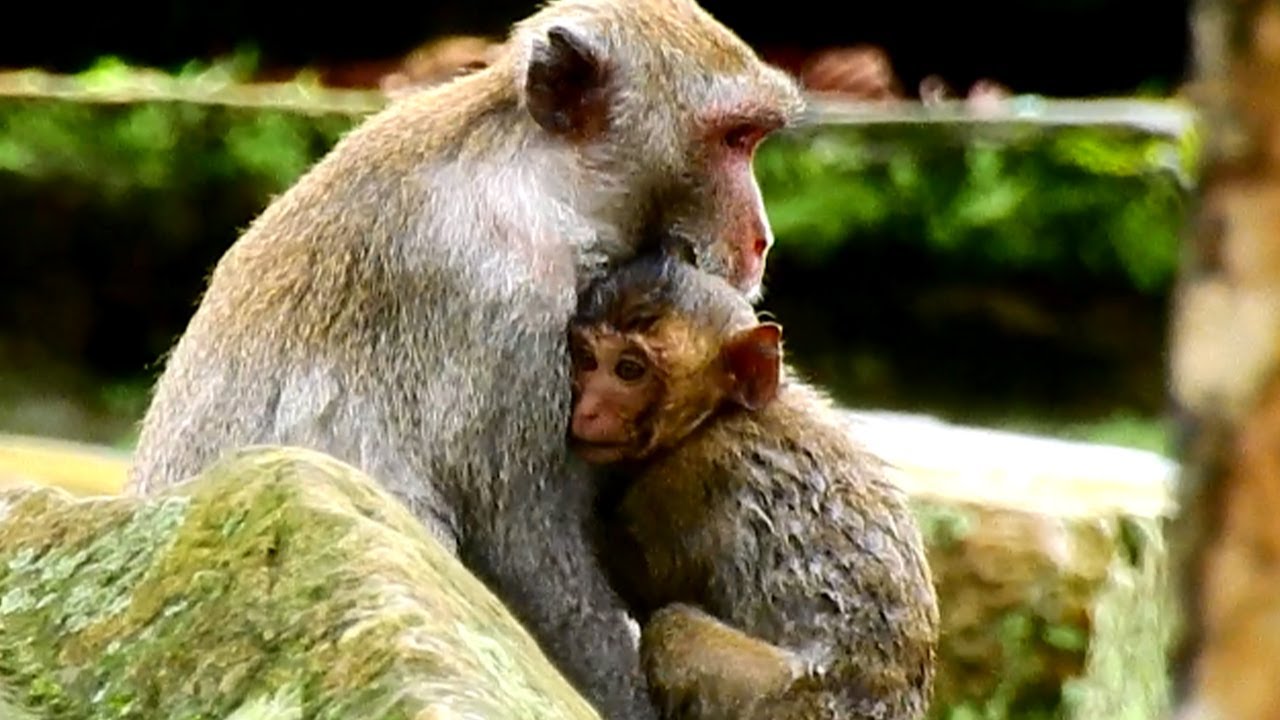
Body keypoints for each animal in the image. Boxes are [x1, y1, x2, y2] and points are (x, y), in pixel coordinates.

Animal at [125, 2, 805, 718]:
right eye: (733, 138)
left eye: (753, 138)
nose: (762, 239)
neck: (534, 182)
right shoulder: (507, 305)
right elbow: (528, 556)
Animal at [568, 252, 940, 720]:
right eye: (586, 358)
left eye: (629, 370)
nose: (586, 409)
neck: (717, 415)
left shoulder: (692, 477)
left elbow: (644, 576)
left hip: (791, 702)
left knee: (676, 630)